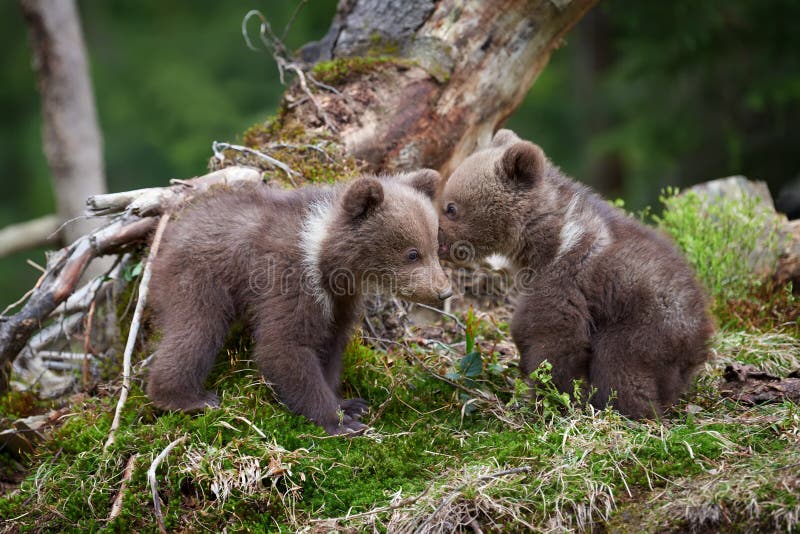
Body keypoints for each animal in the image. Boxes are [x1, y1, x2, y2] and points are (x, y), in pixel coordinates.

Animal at [146, 170, 452, 435]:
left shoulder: (339, 298)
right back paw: (187, 398)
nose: (443, 291)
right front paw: (339, 422)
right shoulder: (290, 278)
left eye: (435, 247)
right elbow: (284, 345)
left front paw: (350, 404)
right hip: (200, 279)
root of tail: (166, 239)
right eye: (412, 253)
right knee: (196, 332)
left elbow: (330, 345)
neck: (323, 257)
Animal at [437, 129, 715, 418]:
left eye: (451, 207)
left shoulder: (566, 275)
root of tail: (699, 339)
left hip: (647, 325)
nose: (436, 236)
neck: (547, 238)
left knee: (619, 365)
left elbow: (553, 335)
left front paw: (551, 397)